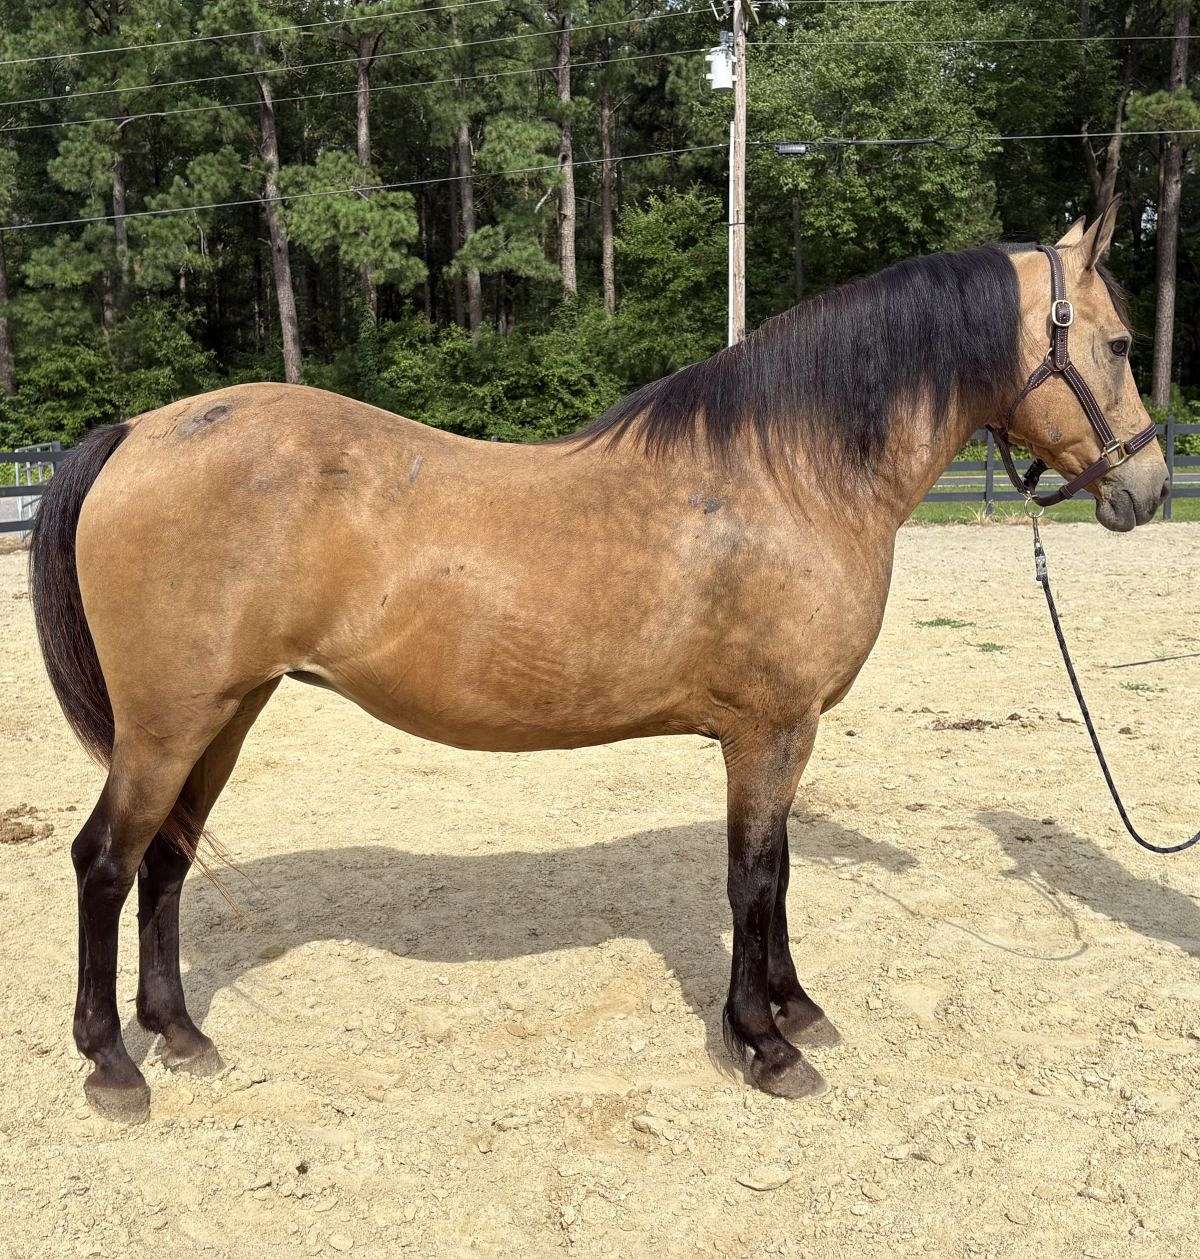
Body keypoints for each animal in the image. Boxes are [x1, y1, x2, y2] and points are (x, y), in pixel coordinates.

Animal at [28, 204, 1169, 1122]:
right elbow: (753, 877)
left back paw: (181, 1033)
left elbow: (779, 872)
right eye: (1117, 343)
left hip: (223, 713)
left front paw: (796, 1006)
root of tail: (139, 431)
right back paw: (113, 1064)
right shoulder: (768, 729)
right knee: (104, 862)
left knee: (166, 862)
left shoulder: (785, 732)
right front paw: (765, 1042)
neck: (787, 476)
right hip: (170, 723)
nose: (1150, 487)